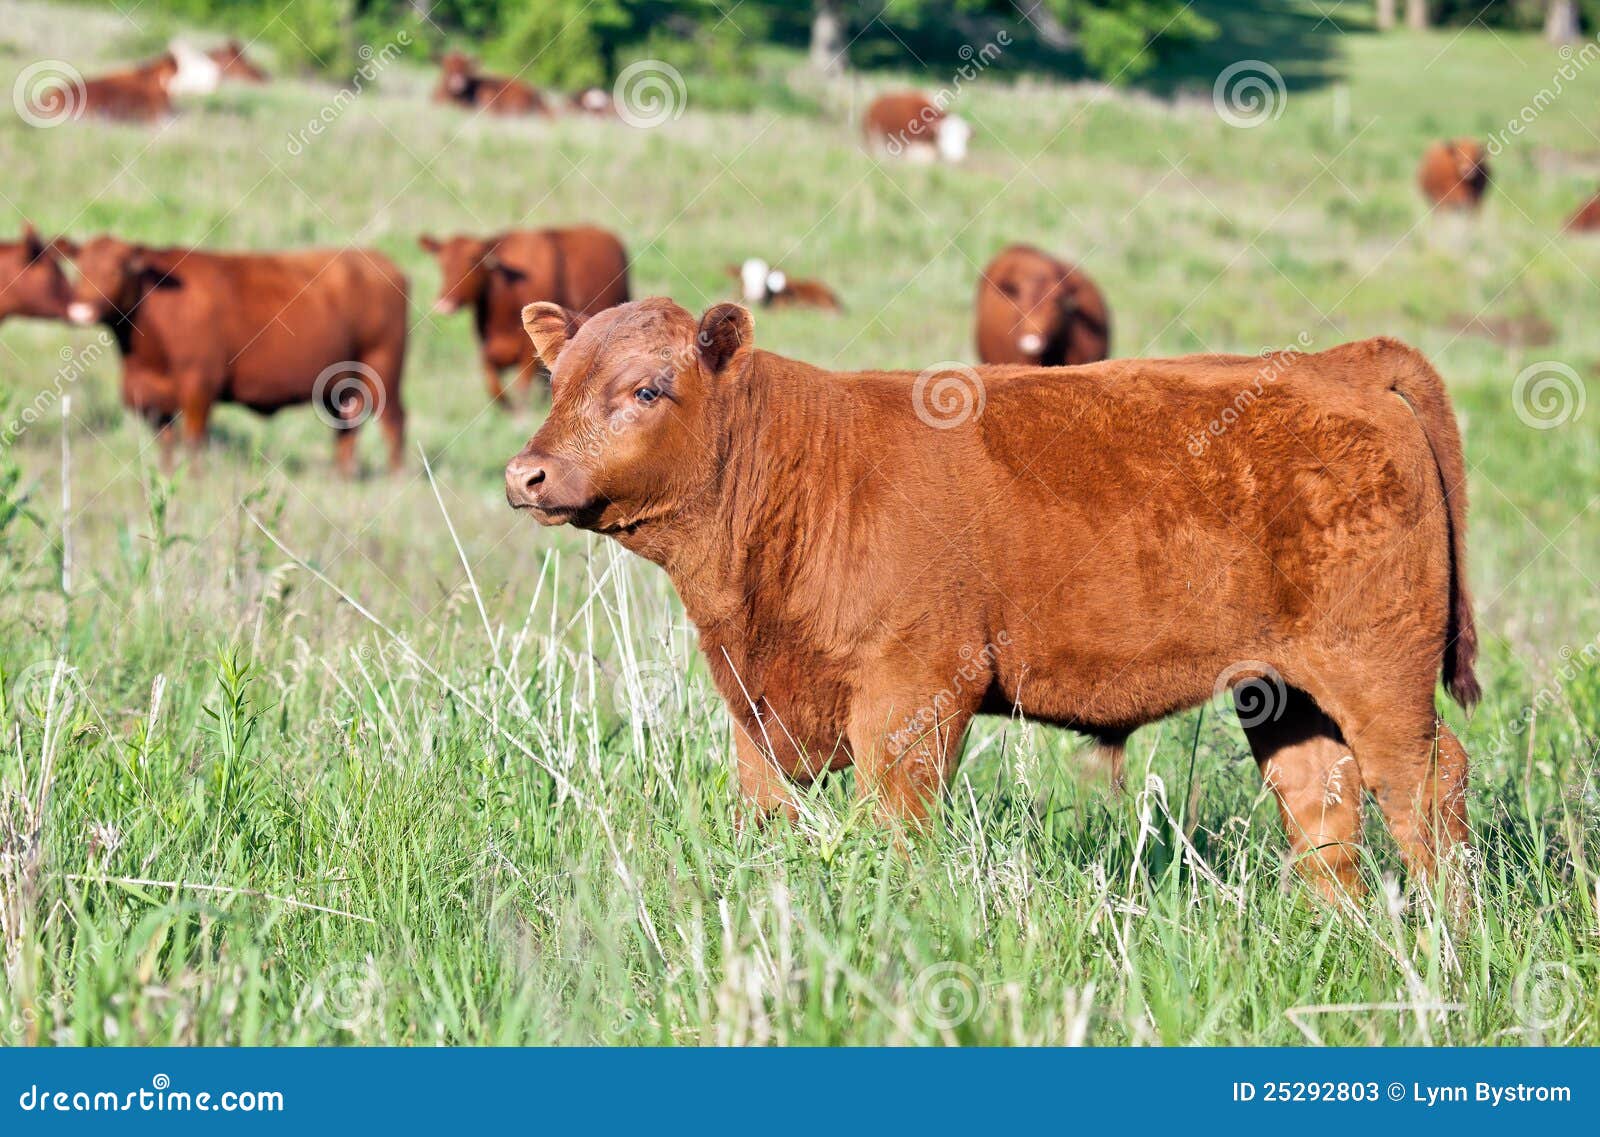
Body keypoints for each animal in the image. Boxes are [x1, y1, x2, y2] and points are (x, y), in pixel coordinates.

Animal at [58, 236, 407, 474]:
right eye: (80, 268)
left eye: (121, 269)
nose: (81, 310)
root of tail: (376, 259)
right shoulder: (150, 397)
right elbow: (167, 443)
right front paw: (167, 478)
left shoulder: (199, 386)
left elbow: (194, 440)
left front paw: (193, 481)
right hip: (341, 384)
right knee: (348, 426)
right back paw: (342, 476)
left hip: (382, 367)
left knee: (393, 421)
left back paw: (395, 477)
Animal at [419, 227, 629, 406]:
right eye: (441, 263)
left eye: (473, 261)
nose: (444, 304)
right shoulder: (488, 351)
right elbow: (496, 390)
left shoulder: (528, 354)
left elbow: (522, 393)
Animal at [505, 298, 1480, 903]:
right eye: (557, 382)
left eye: (646, 388)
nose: (527, 473)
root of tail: (1339, 366)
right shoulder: (757, 707)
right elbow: (766, 811)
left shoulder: (912, 696)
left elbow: (898, 823)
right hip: (1282, 688)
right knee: (1321, 799)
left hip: (1378, 672)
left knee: (1424, 783)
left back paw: (1447, 939)